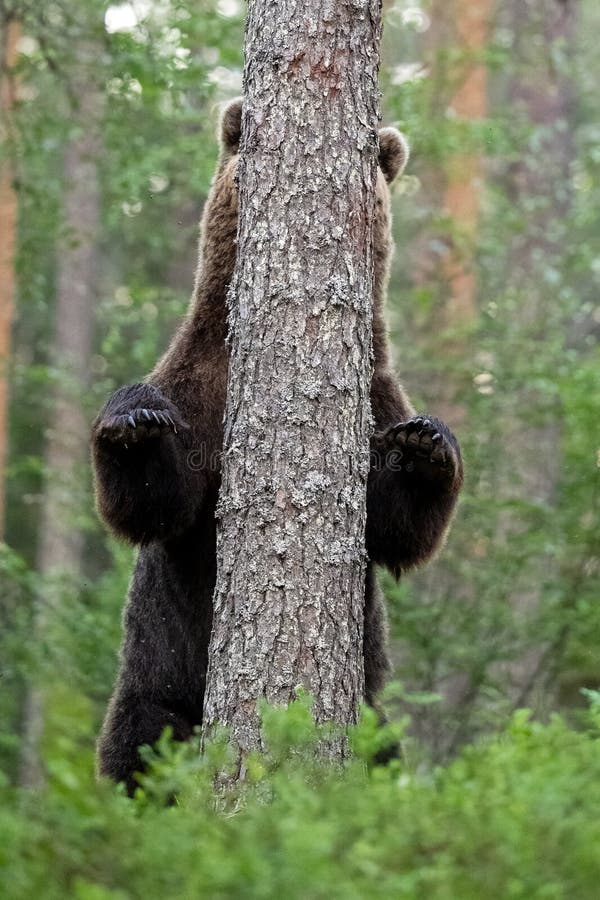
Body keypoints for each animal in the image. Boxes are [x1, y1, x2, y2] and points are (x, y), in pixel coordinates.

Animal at [92, 99, 463, 794]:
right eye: (248, 170)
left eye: (366, 184)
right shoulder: (198, 385)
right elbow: (158, 502)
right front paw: (135, 423)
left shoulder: (372, 393)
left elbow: (398, 524)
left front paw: (427, 443)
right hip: (159, 679)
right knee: (142, 743)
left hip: (369, 710)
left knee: (381, 749)